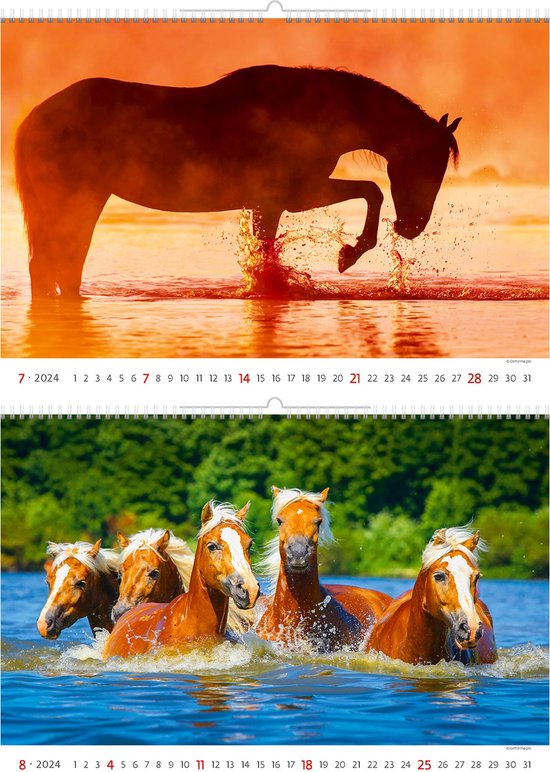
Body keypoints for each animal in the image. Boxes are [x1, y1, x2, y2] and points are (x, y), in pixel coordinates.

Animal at [15, 64, 461, 298]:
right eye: (426, 162)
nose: (412, 227)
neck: (310, 110)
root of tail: (33, 117)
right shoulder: (290, 195)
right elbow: (372, 190)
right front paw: (348, 253)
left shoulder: (276, 201)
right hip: (75, 199)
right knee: (55, 264)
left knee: (61, 265)